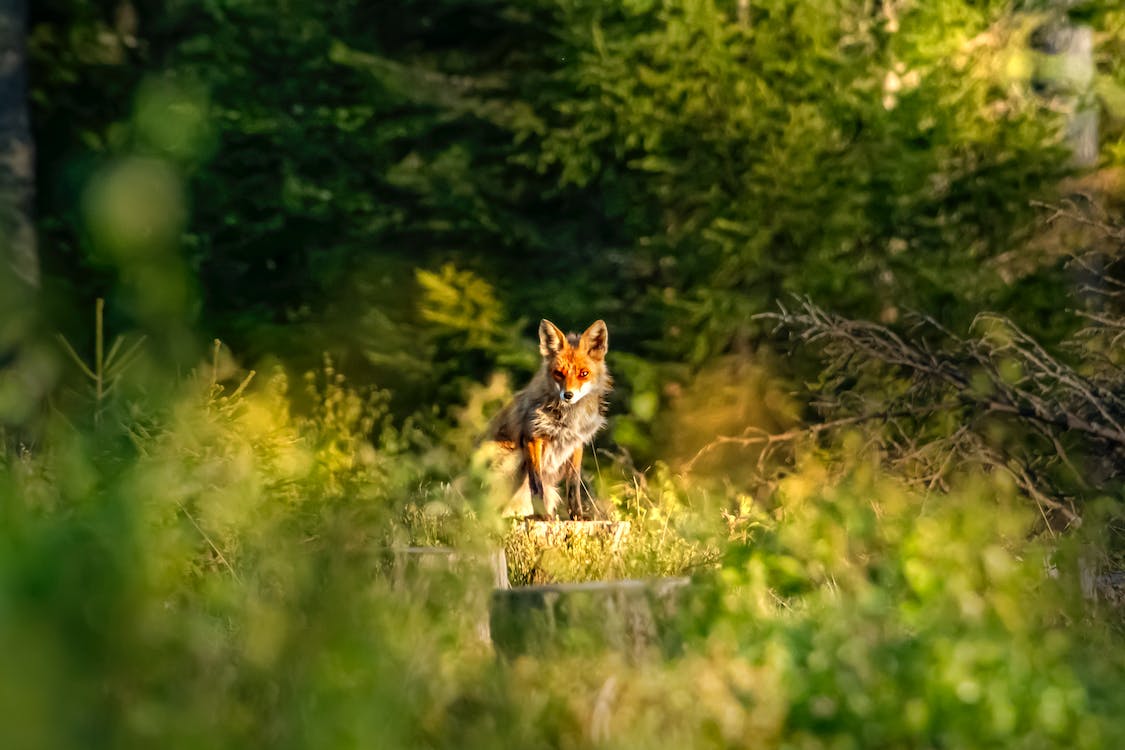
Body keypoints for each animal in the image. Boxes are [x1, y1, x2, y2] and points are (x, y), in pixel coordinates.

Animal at [489, 319, 612, 520]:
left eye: (583, 373)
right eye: (558, 373)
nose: (568, 395)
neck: (568, 419)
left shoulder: (576, 443)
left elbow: (573, 485)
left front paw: (577, 515)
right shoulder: (532, 437)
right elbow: (536, 484)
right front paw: (542, 516)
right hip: (514, 459)